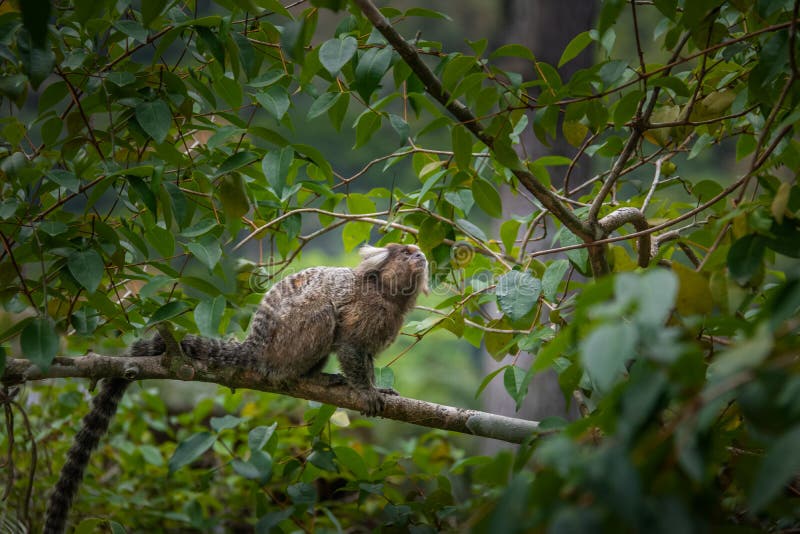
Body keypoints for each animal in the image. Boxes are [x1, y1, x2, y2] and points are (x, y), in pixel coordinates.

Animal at [44, 243, 428, 533]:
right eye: (407, 253)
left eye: (417, 251)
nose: (422, 255)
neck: (384, 293)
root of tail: (254, 347)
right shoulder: (361, 311)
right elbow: (349, 346)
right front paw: (365, 392)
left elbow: (366, 357)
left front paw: (379, 389)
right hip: (287, 338)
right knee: (320, 310)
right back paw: (308, 376)